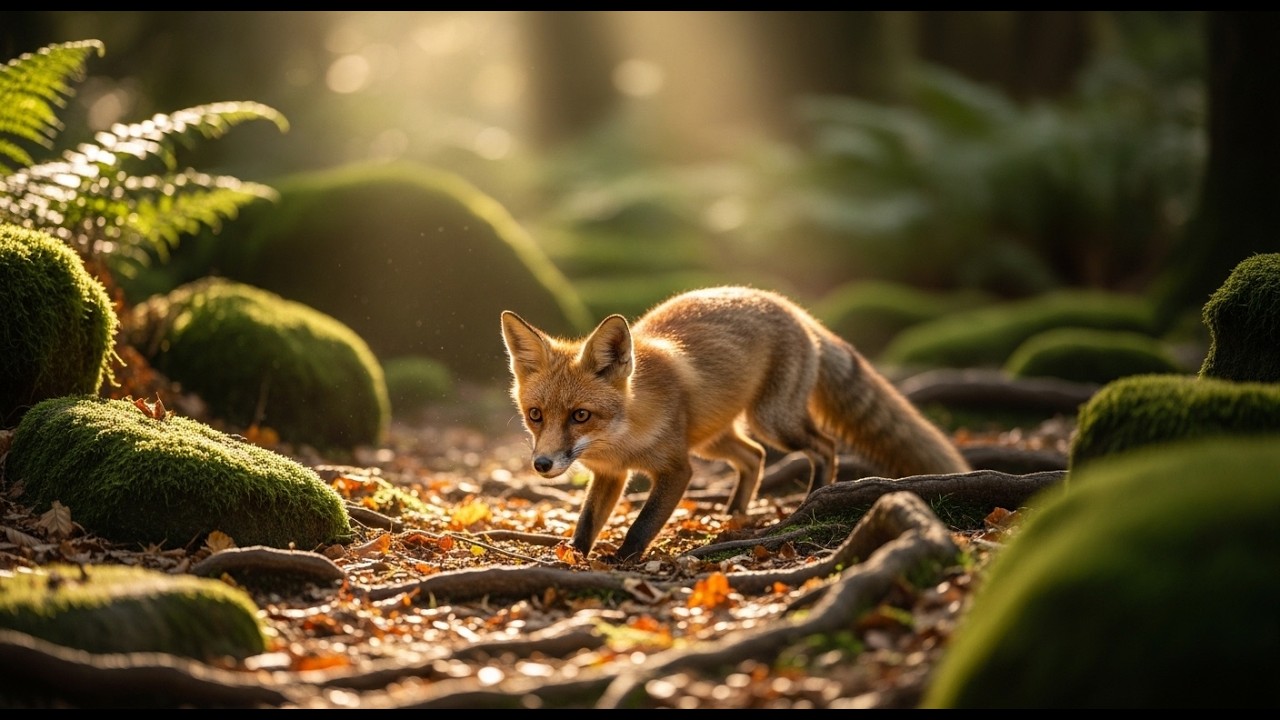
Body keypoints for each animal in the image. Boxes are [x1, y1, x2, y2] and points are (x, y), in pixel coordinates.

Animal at [500, 285, 970, 562]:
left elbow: (643, 523)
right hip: (718, 438)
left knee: (824, 446)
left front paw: (622, 559)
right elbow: (587, 522)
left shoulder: (678, 468)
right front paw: (573, 555)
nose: (542, 465)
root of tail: (792, 308)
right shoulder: (611, 475)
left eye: (580, 415)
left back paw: (813, 498)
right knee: (754, 456)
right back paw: (733, 515)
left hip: (772, 422)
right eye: (536, 415)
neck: (622, 437)